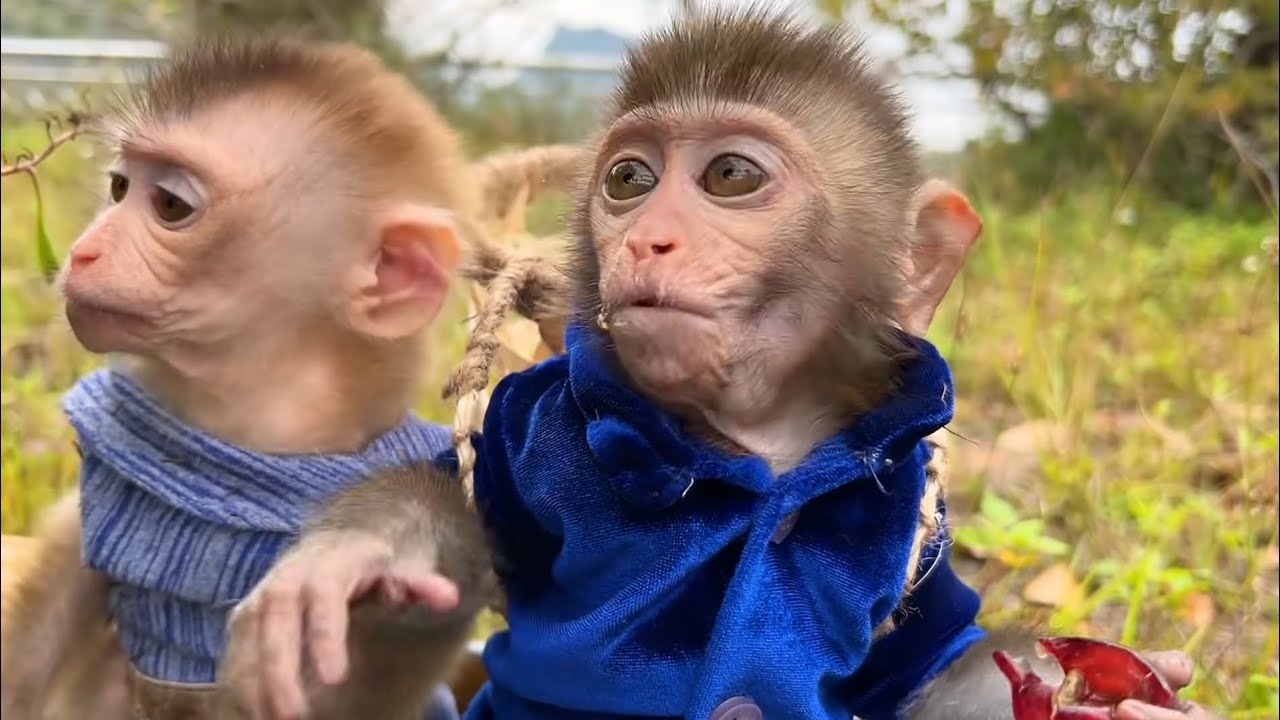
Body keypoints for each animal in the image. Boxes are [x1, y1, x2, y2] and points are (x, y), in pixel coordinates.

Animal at [216, 8, 1222, 720]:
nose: (647, 240)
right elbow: (459, 505)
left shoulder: (908, 515)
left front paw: (1134, 690)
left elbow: (921, 656)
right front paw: (352, 557)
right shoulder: (537, 420)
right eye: (627, 180)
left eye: (730, 177)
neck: (757, 439)